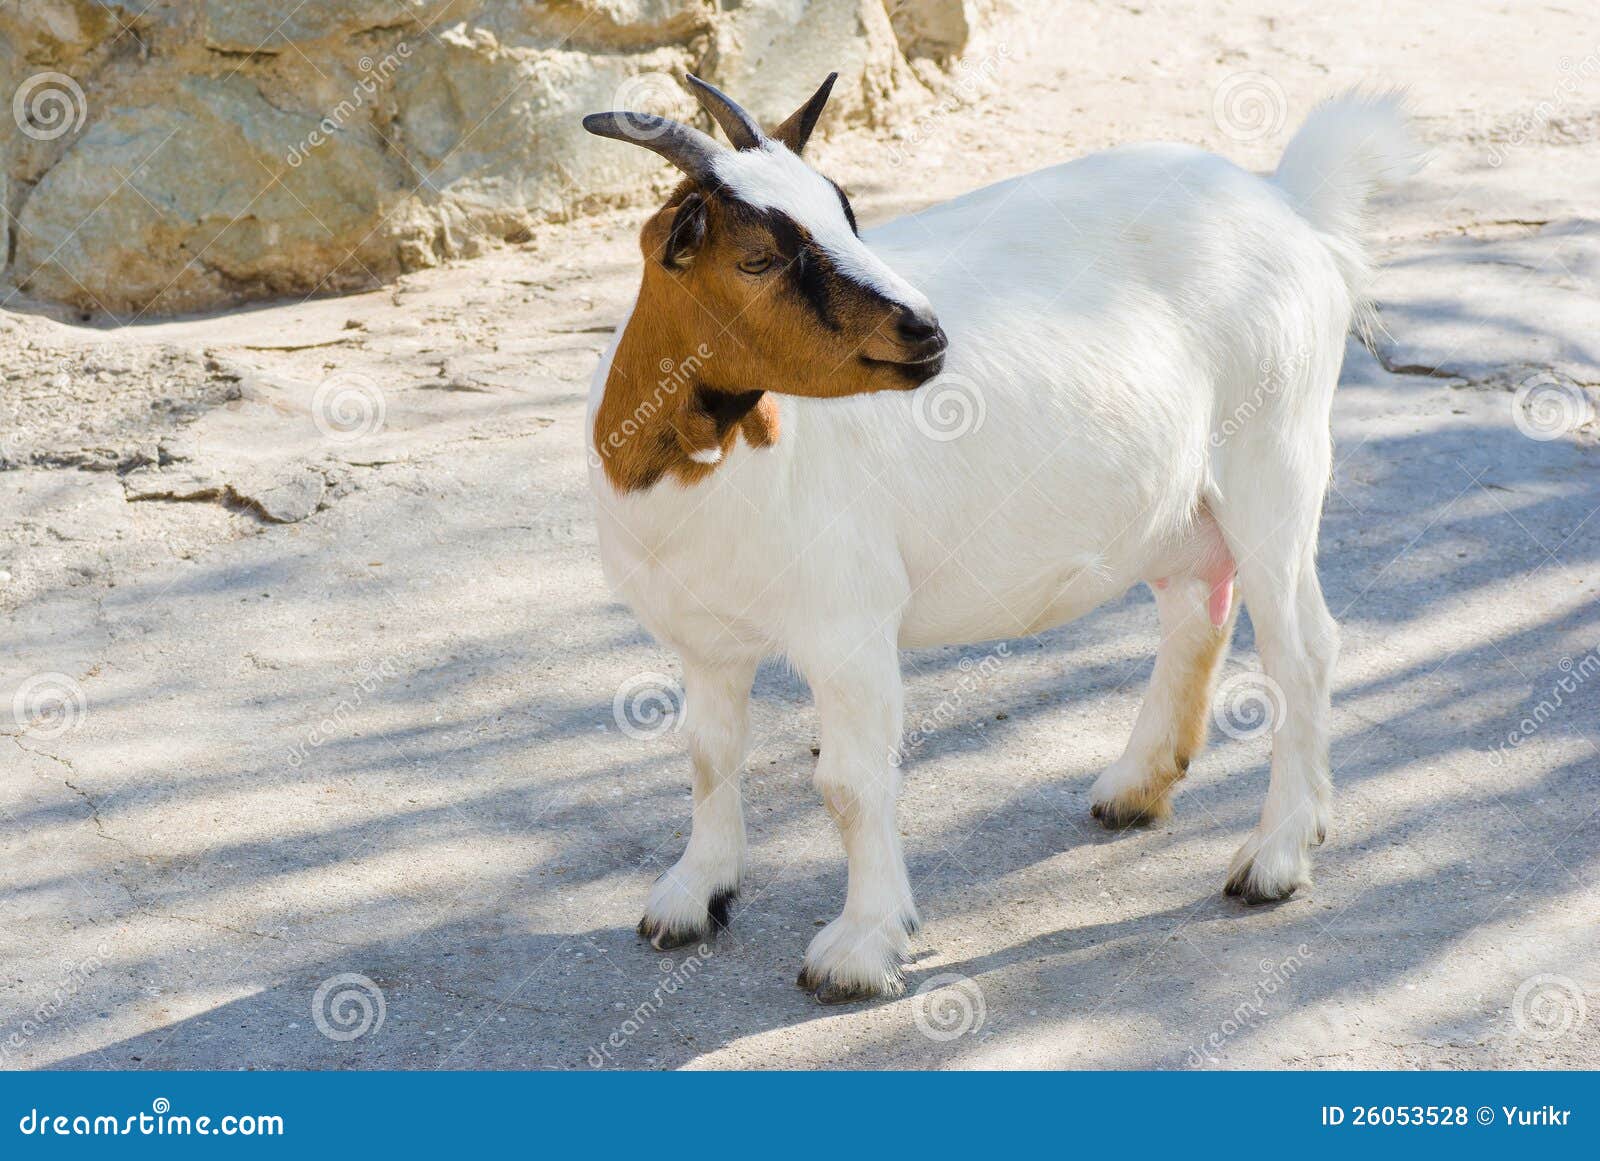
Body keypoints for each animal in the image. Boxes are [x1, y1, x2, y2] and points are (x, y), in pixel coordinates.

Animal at [582, 74, 1418, 1002]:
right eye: (757, 257)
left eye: (846, 214)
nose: (924, 330)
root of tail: (1288, 204)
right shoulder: (702, 637)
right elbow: (708, 754)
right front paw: (693, 896)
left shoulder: (849, 625)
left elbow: (849, 782)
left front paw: (859, 946)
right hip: (1182, 497)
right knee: (1198, 605)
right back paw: (1137, 785)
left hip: (1276, 453)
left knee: (1301, 646)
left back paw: (1275, 856)